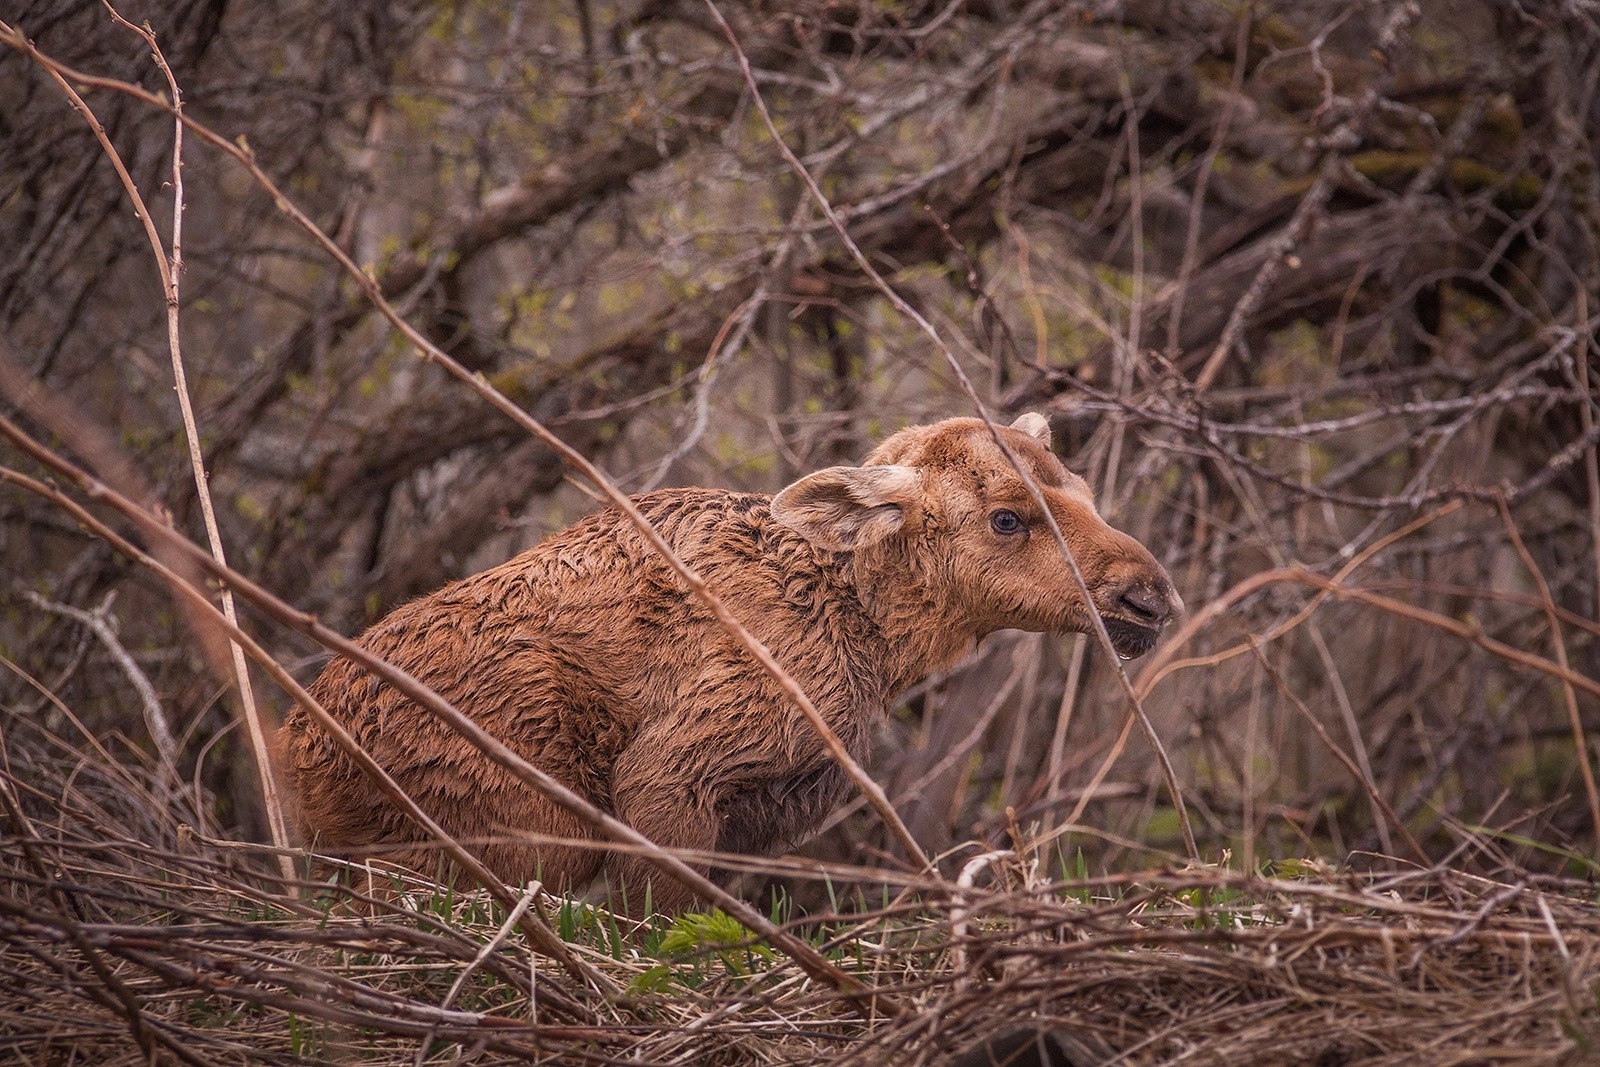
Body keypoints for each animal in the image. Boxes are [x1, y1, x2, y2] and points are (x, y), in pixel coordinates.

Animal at [278, 412, 1177, 915]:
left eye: (1086, 490)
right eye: (1006, 518)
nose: (1147, 595)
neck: (862, 625)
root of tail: (297, 754)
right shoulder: (670, 776)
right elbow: (664, 926)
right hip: (525, 832)